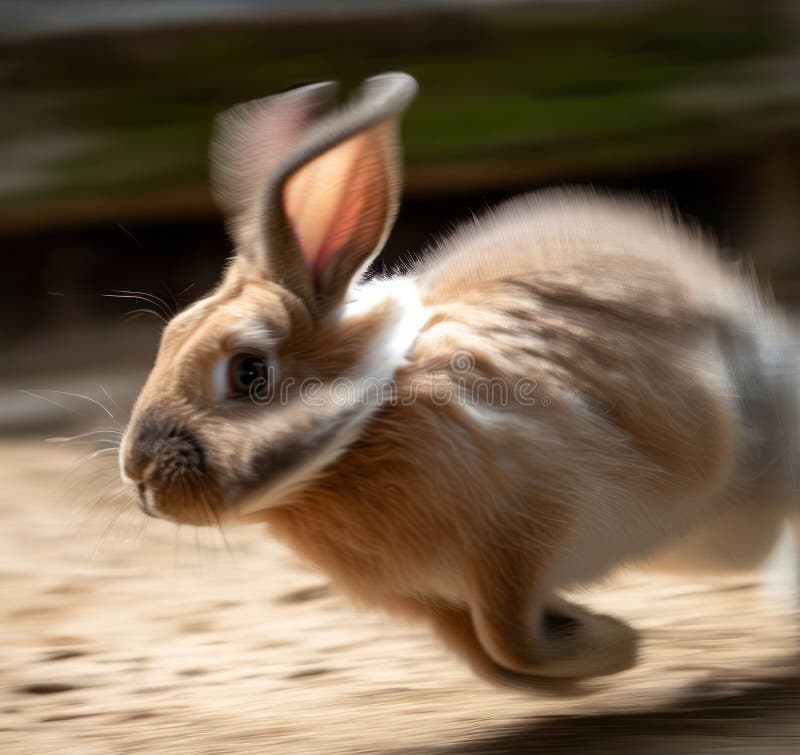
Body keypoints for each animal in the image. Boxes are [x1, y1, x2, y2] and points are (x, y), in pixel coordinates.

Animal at [119, 72, 800, 692]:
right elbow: (494, 662)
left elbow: (511, 641)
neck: (355, 439)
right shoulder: (439, 602)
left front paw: (618, 645)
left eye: (249, 371)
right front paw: (595, 642)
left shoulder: (521, 537)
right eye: (168, 337)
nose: (138, 475)